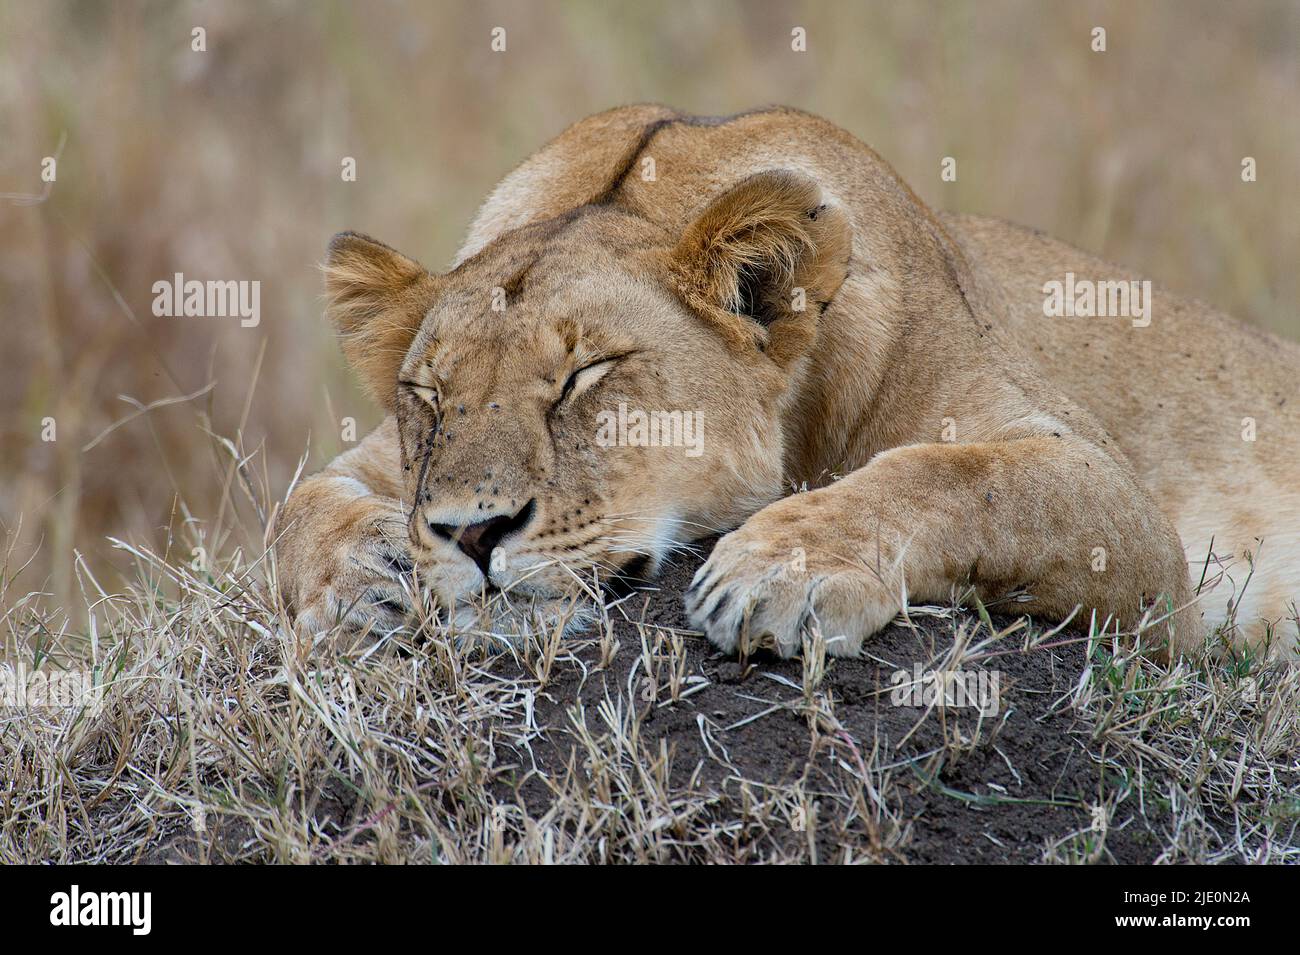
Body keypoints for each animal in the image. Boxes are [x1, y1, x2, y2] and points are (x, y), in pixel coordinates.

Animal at [273, 105, 1300, 660]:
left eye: (583, 375)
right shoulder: (382, 459)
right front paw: (362, 580)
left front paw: (780, 572)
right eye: (429, 396)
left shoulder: (1130, 525)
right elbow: (299, 503)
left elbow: (957, 474)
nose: (472, 533)